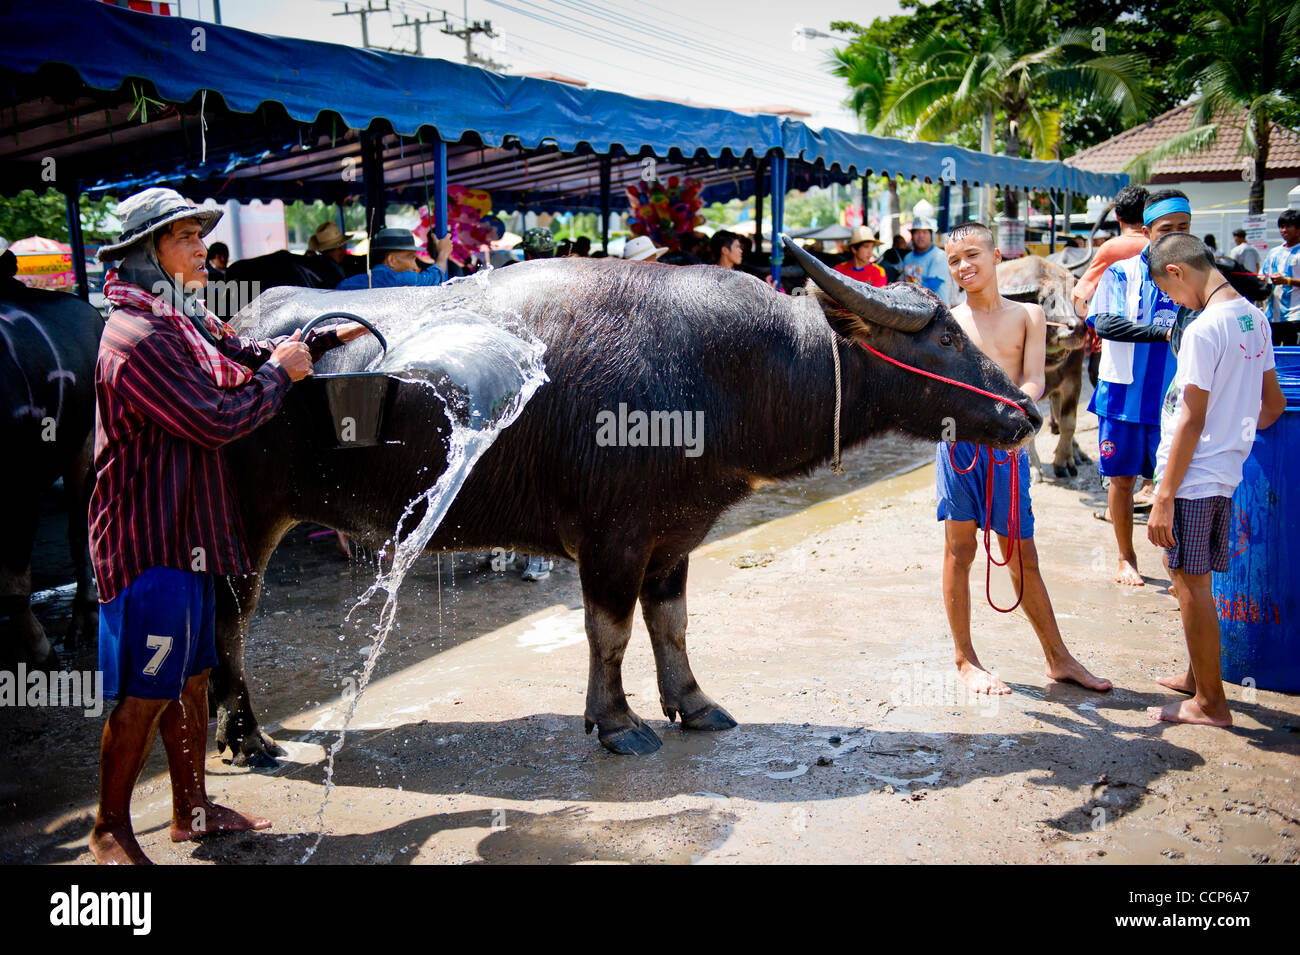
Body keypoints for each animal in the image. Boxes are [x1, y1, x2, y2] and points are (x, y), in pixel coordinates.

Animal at [214, 238, 1041, 763]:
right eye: (943, 340)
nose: (1026, 413)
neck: (722, 371)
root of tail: (233, 331)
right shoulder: (610, 540)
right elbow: (608, 634)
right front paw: (616, 721)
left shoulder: (673, 538)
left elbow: (670, 625)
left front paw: (694, 703)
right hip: (244, 521)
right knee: (231, 622)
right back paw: (250, 740)